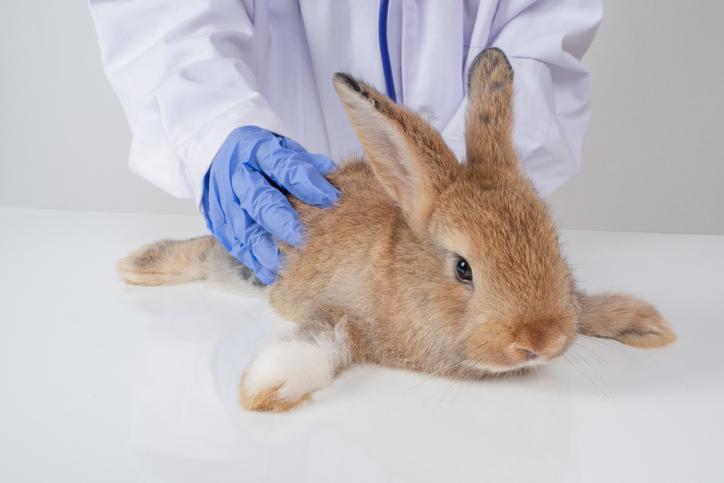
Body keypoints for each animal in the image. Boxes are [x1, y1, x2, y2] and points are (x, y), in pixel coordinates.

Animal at [118, 48, 676, 412]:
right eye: (463, 268)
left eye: (553, 245)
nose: (539, 340)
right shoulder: (341, 309)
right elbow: (326, 340)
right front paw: (266, 386)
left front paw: (643, 324)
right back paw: (138, 264)